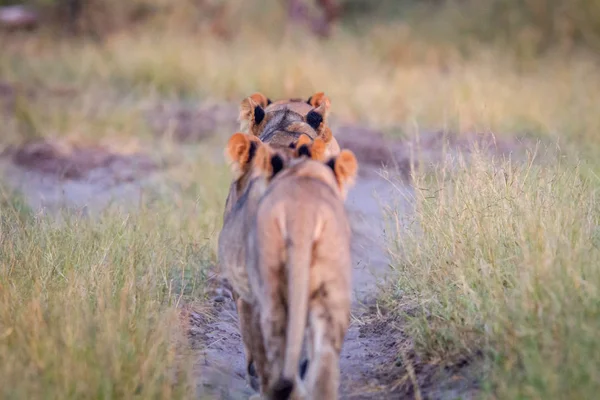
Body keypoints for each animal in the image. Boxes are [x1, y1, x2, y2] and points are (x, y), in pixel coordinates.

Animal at [246, 142, 358, 398]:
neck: (304, 173)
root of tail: (302, 213)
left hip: (272, 281)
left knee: (279, 340)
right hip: (332, 287)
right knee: (325, 354)